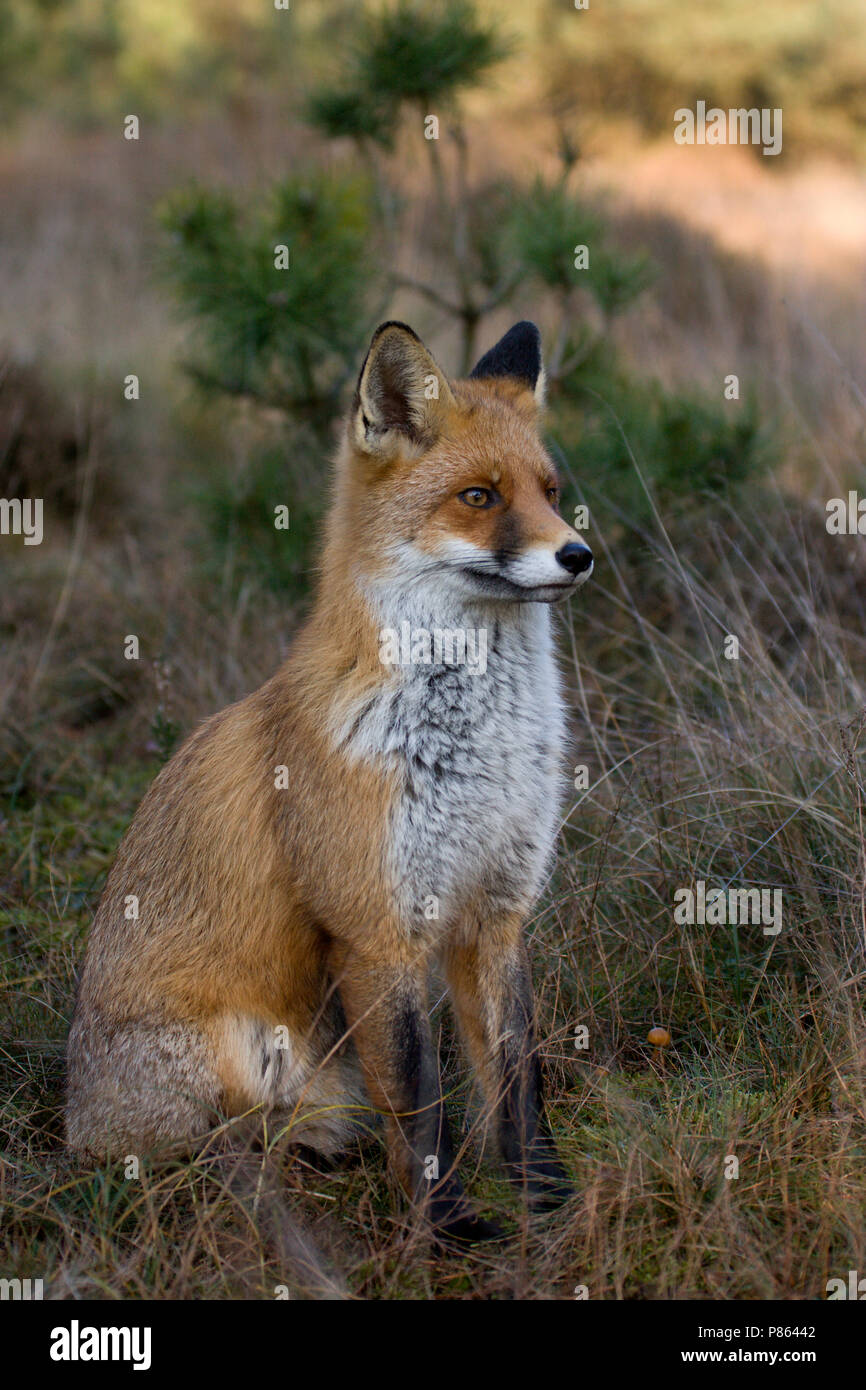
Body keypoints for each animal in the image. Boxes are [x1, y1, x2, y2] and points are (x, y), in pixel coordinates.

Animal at [65, 319, 594, 1242]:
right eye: (480, 497)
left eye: (551, 490)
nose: (579, 554)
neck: (475, 752)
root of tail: (70, 1116)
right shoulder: (377, 930)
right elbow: (419, 1102)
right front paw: (445, 1231)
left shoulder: (496, 914)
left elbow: (518, 1086)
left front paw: (549, 1205)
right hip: (238, 1050)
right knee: (212, 1150)